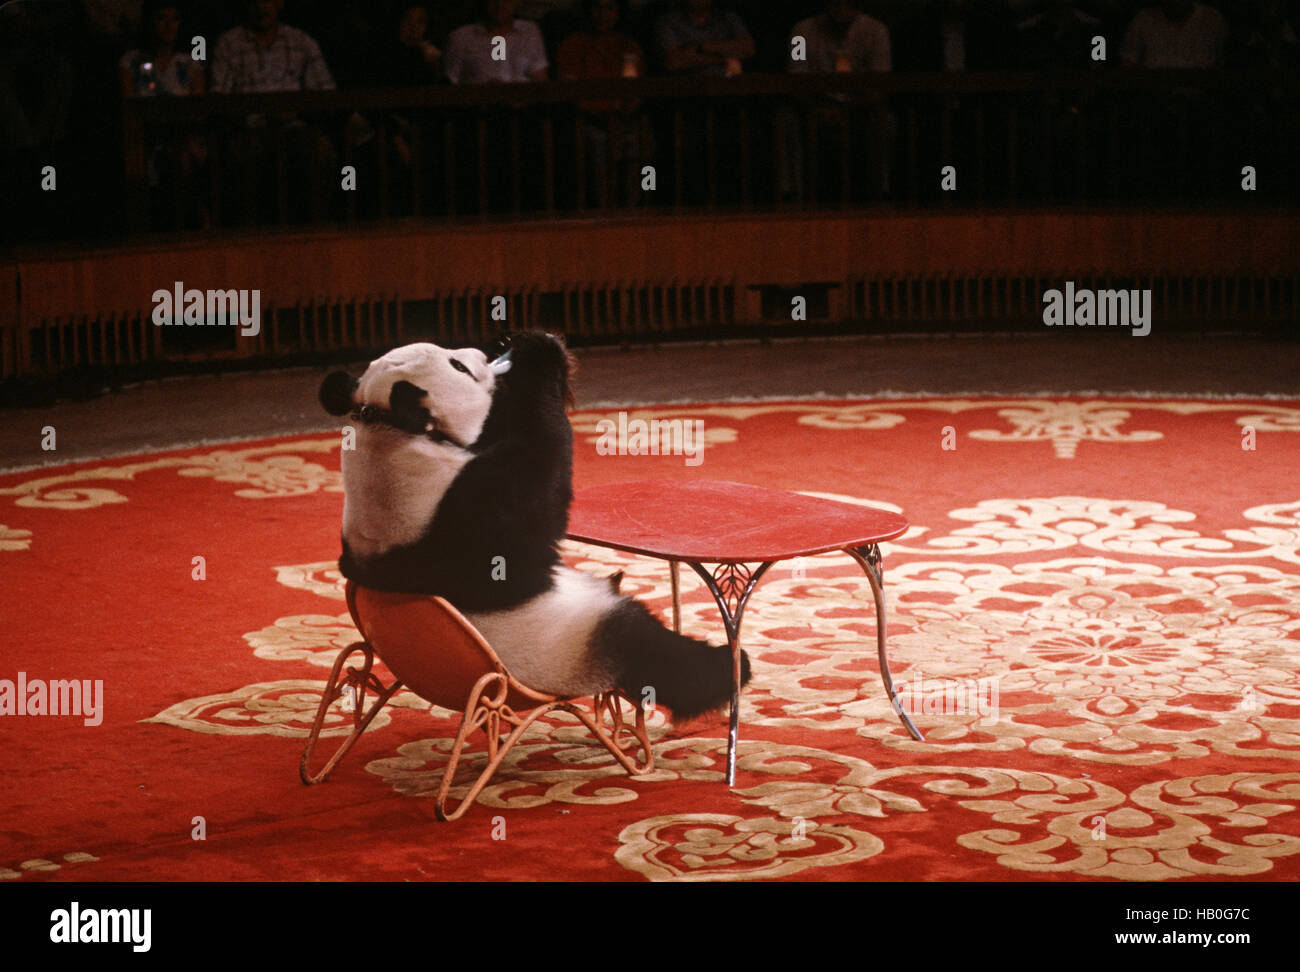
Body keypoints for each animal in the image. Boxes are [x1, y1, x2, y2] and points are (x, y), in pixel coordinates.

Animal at [318, 330, 749, 721]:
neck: (390, 433)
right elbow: (540, 476)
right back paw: (731, 667)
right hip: (571, 645)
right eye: (458, 366)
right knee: (655, 655)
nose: (484, 354)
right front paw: (538, 356)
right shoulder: (450, 511)